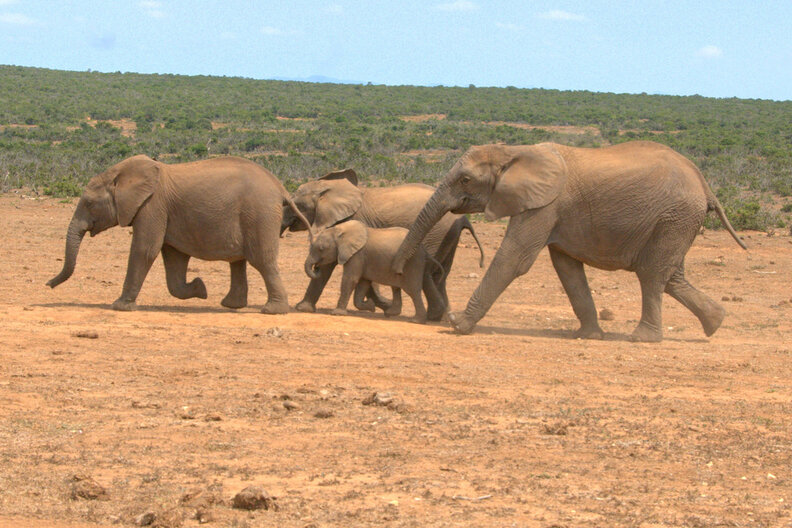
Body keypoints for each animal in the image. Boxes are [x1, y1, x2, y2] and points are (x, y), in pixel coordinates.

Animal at [47, 155, 311, 313]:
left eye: (89, 203)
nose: (48, 284)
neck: (122, 174)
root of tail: (279, 187)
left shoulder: (152, 206)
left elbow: (145, 250)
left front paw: (119, 307)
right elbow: (173, 259)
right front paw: (200, 289)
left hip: (259, 214)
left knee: (262, 260)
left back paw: (271, 311)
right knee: (239, 261)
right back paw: (230, 305)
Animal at [304, 220, 444, 323]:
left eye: (321, 249)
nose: (316, 267)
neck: (340, 230)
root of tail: (424, 250)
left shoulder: (357, 255)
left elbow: (351, 279)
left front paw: (337, 313)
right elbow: (363, 283)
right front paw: (371, 306)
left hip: (412, 264)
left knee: (413, 291)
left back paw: (416, 320)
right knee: (396, 287)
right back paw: (389, 313)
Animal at [392, 141, 747, 342]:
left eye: (465, 179)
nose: (396, 270)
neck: (515, 151)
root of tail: (704, 183)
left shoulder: (544, 204)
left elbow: (514, 258)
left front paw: (458, 325)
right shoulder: (555, 211)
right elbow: (567, 268)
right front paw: (587, 335)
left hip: (674, 217)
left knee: (652, 274)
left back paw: (643, 339)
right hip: (676, 221)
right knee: (670, 274)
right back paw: (715, 323)